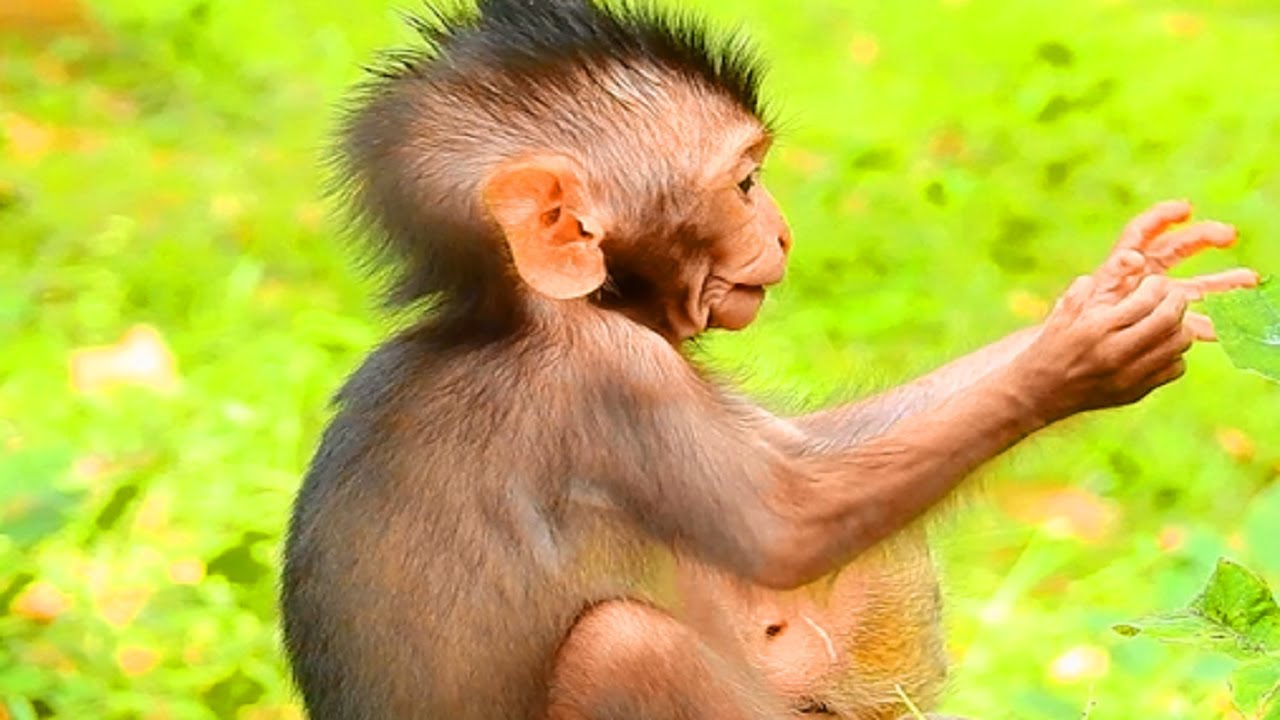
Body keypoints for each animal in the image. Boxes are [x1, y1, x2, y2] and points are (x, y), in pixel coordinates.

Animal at [279, 1, 1260, 719]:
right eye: (746, 183)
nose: (783, 230)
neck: (520, 311)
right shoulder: (613, 377)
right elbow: (790, 523)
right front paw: (1081, 352)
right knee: (620, 648)